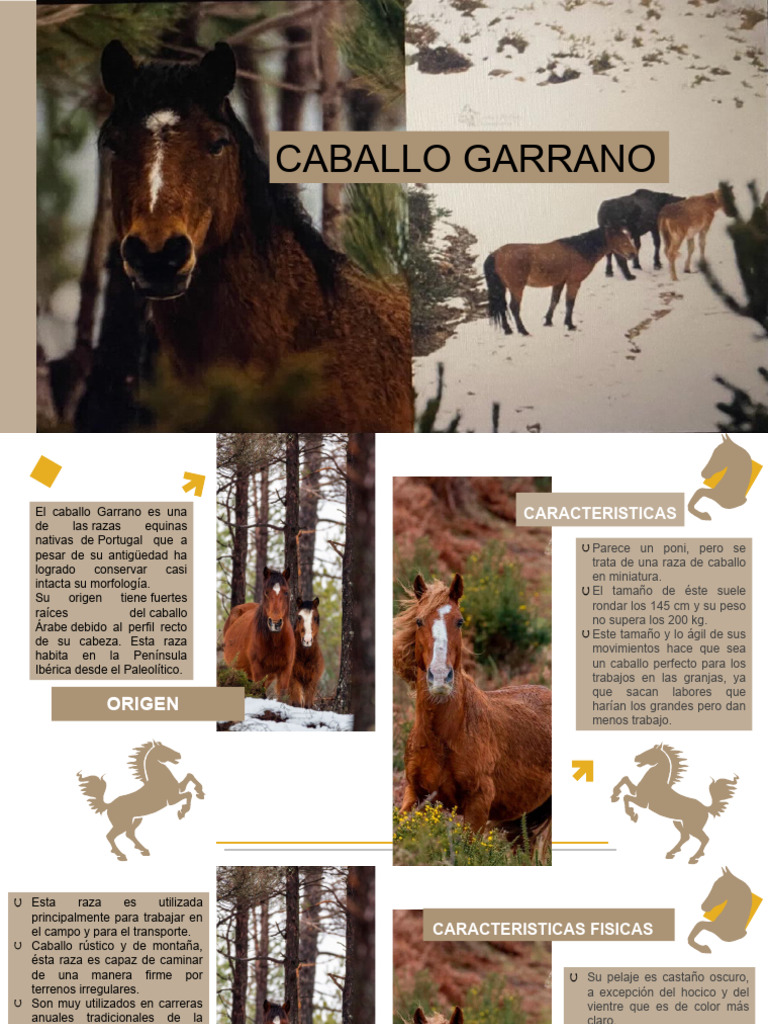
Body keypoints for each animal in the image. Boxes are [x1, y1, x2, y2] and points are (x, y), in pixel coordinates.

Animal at [222, 567, 295, 697]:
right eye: (266, 592)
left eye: (286, 592)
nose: (275, 623)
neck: (275, 642)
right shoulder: (258, 671)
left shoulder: (285, 671)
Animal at [393, 574, 551, 832]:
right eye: (418, 621)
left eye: (459, 621)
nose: (440, 677)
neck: (444, 737)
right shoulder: (415, 793)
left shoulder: (478, 803)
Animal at [484, 225, 637, 335]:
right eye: (622, 240)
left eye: (628, 238)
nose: (633, 254)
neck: (580, 249)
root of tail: (496, 254)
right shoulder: (574, 282)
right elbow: (570, 303)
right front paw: (570, 324)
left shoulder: (559, 282)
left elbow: (554, 301)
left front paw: (548, 321)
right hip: (516, 288)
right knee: (514, 307)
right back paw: (523, 331)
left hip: (502, 288)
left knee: (502, 307)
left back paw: (508, 330)